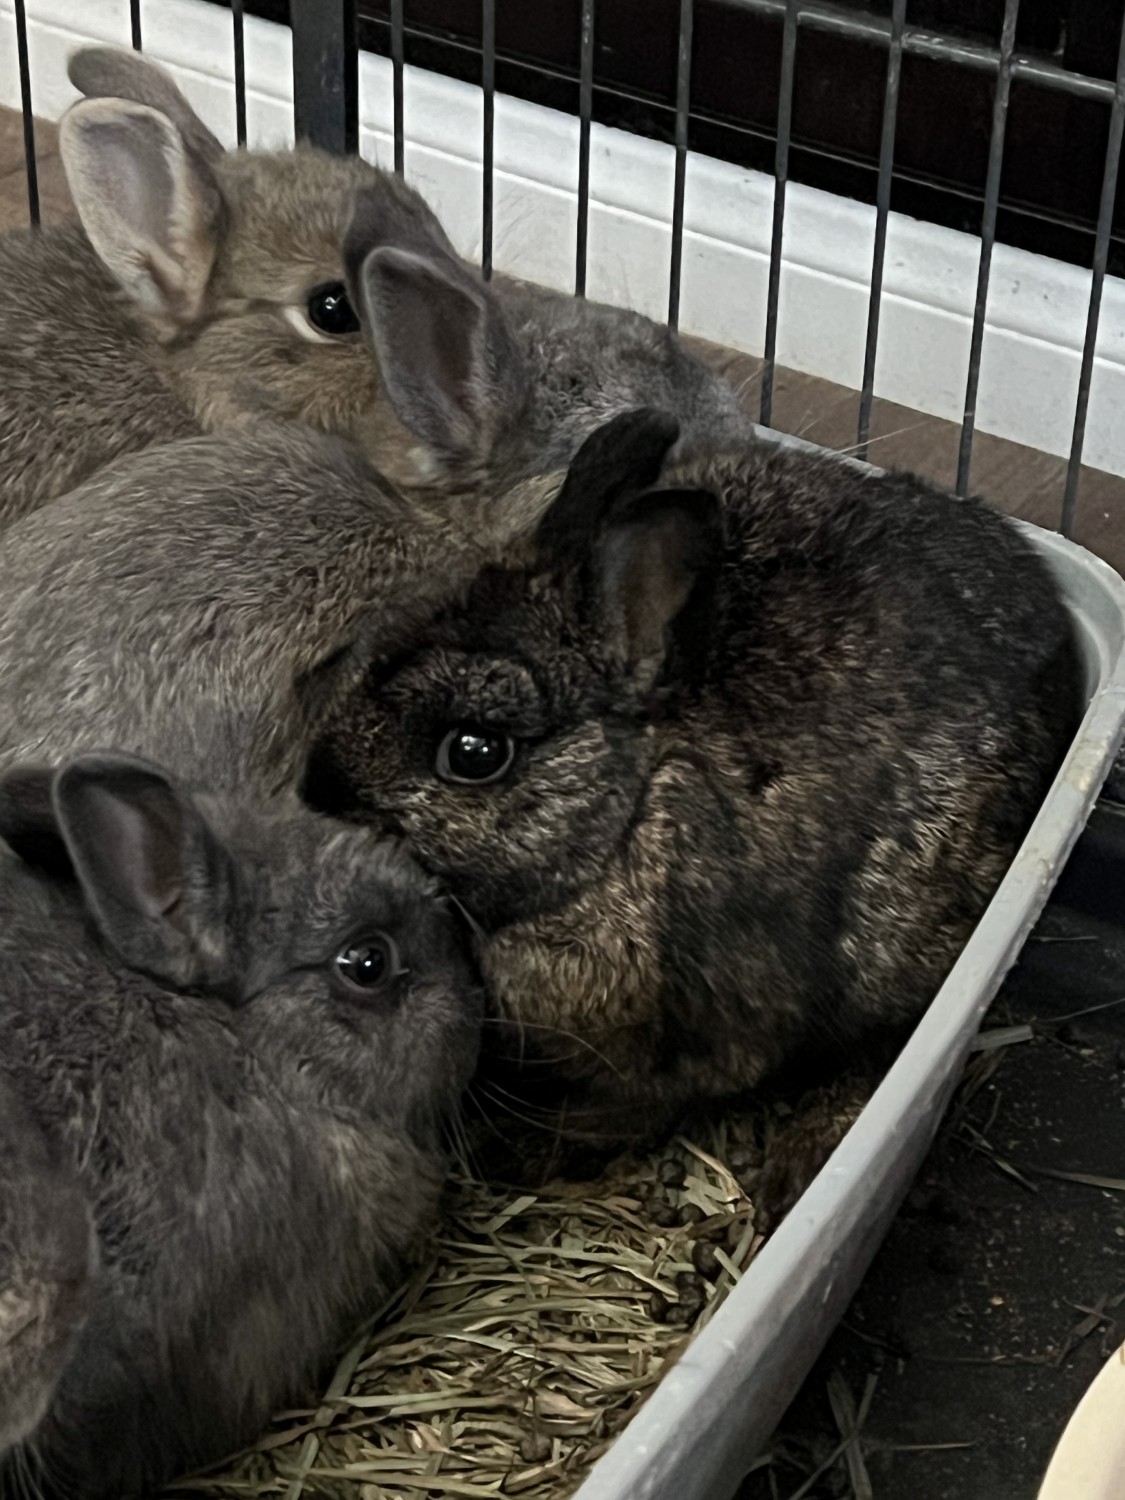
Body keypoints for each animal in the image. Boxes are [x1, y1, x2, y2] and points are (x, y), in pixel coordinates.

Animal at [302, 407, 1083, 1191]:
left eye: (473, 753)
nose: (315, 790)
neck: (626, 821)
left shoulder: (690, 1043)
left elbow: (635, 1110)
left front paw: (520, 1149)